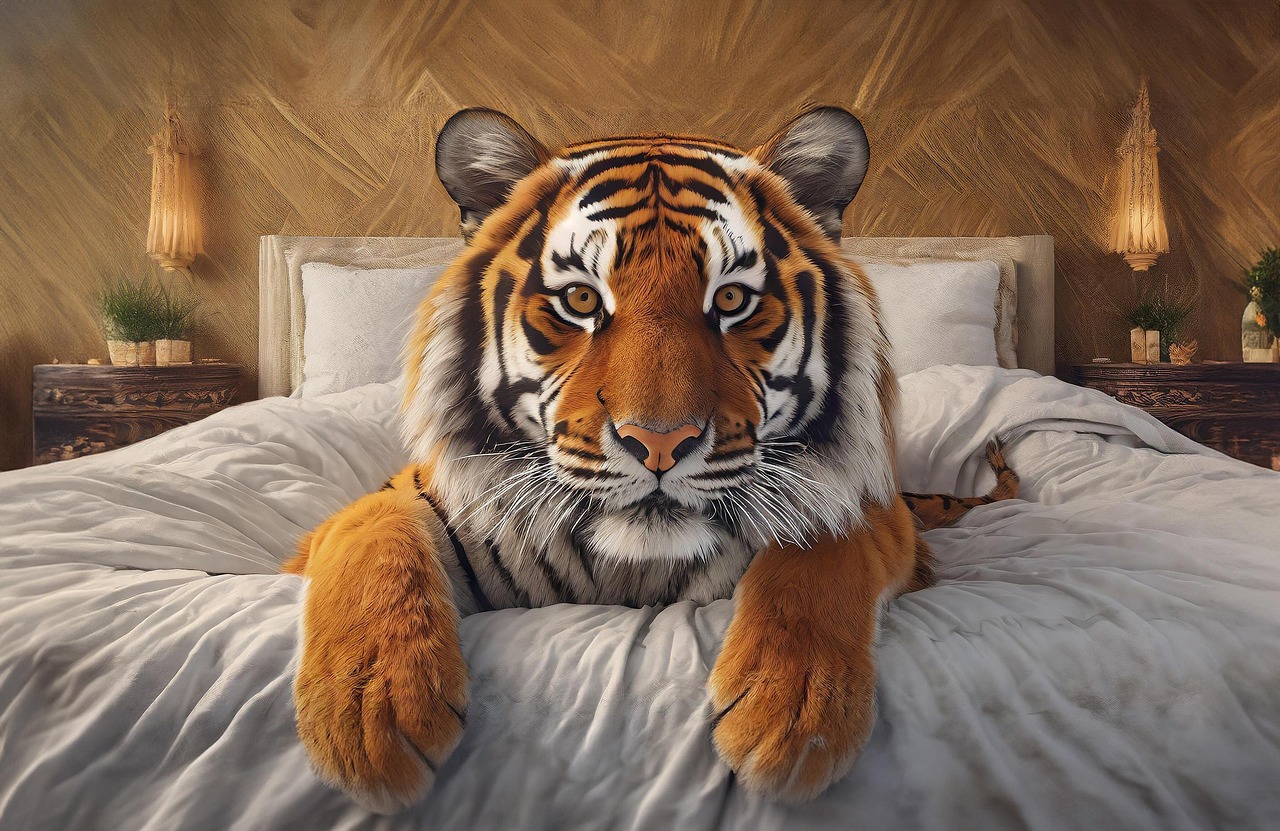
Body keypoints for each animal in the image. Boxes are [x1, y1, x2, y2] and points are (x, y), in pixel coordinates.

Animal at [283, 106, 1019, 813]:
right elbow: (374, 538)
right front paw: (371, 711)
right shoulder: (397, 501)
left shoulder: (865, 508)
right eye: (580, 299)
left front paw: (791, 717)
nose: (659, 443)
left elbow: (819, 553)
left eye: (732, 299)